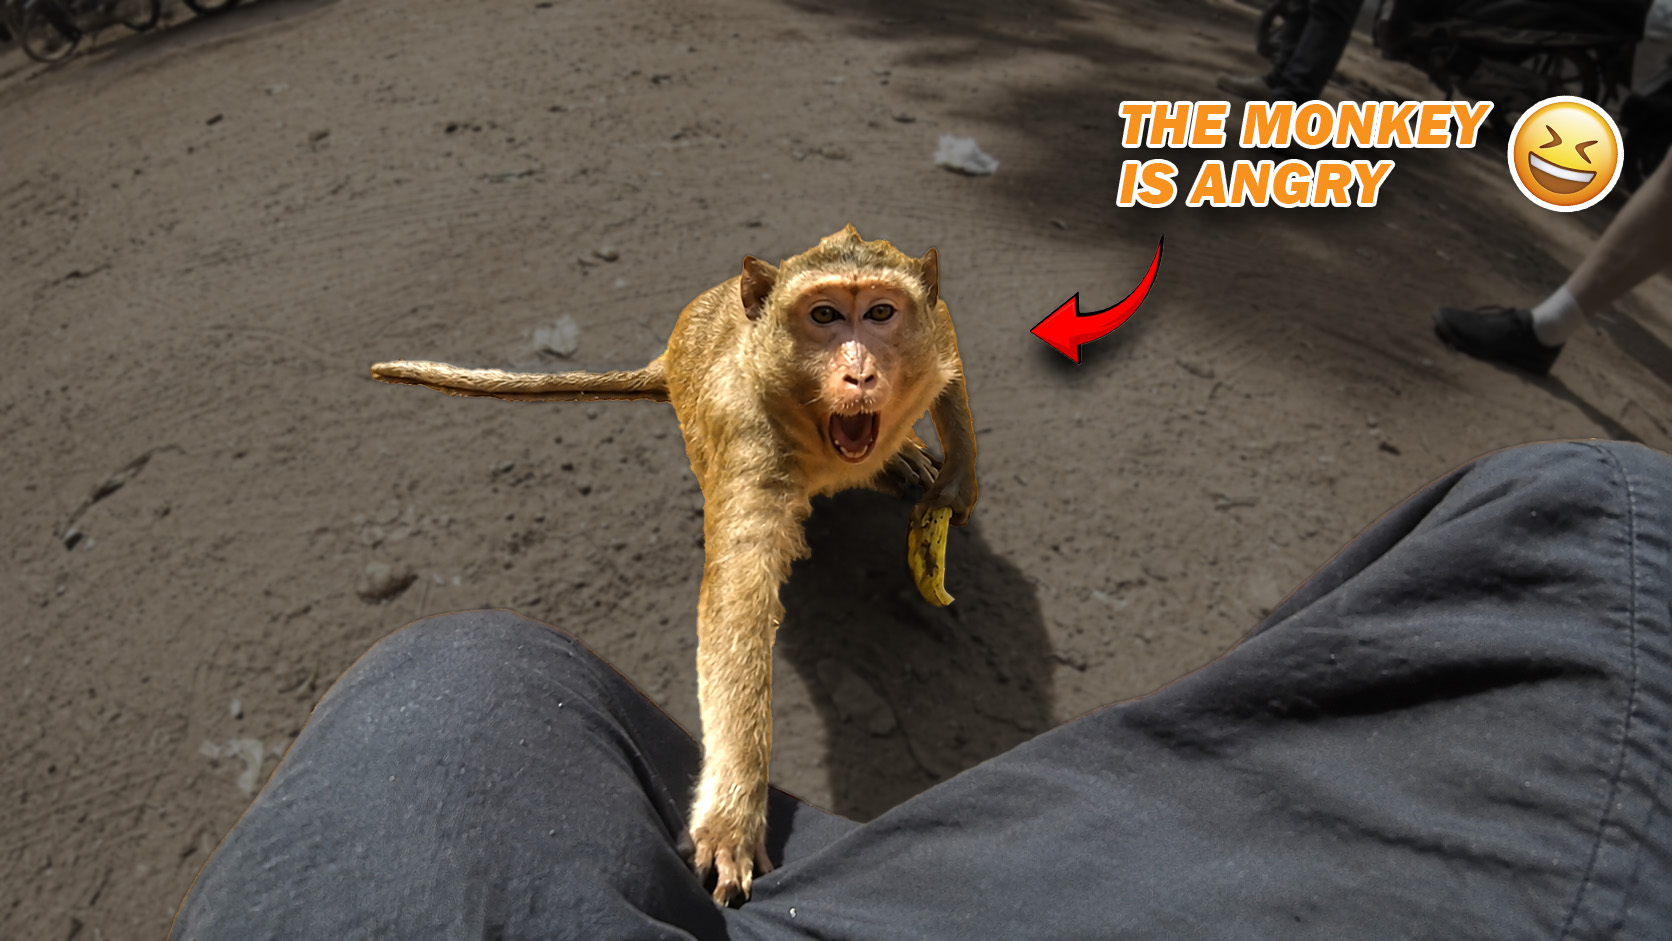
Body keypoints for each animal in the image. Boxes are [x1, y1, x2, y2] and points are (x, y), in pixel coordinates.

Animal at [370, 226, 978, 905]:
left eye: (880, 313)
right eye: (824, 316)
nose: (860, 372)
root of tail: (670, 352)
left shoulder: (929, 328)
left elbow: (947, 343)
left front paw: (958, 481)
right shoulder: (748, 438)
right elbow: (738, 597)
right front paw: (733, 813)